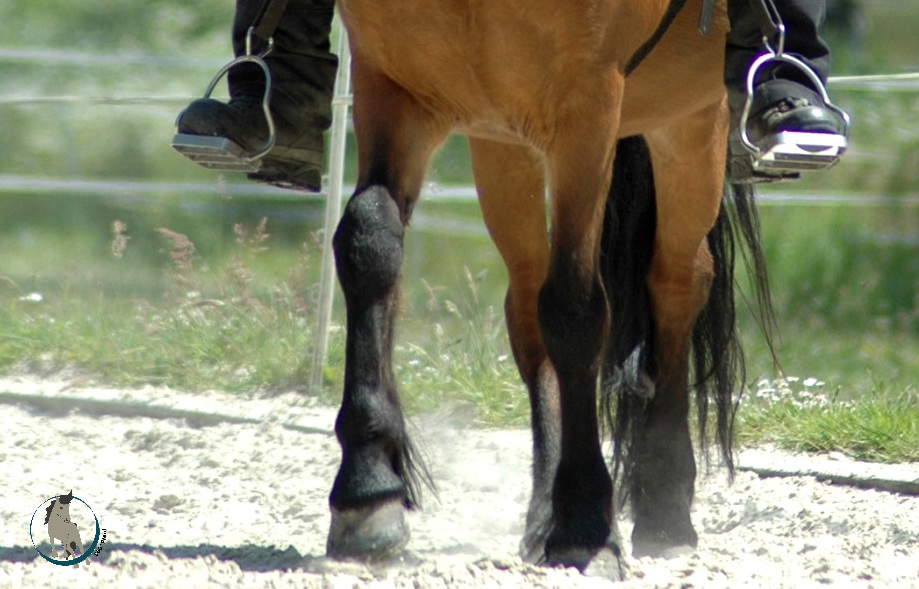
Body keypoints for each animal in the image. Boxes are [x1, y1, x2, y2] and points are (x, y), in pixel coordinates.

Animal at [325, 0, 774, 572]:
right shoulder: (392, 86)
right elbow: (369, 242)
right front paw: (368, 488)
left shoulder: (588, 109)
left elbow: (574, 309)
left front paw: (584, 524)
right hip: (503, 146)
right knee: (526, 300)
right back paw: (543, 517)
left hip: (691, 120)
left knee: (678, 282)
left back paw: (665, 512)